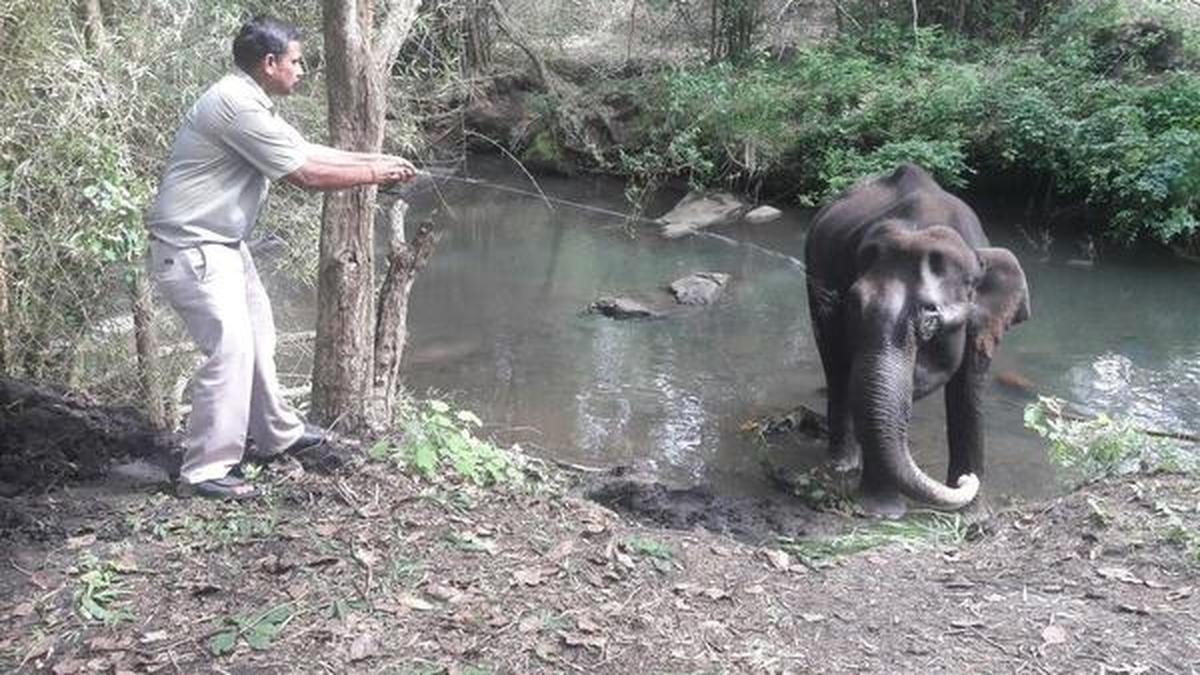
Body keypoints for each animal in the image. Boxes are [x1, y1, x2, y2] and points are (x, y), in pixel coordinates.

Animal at [804, 164, 1030, 517]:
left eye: (931, 318)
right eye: (853, 306)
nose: (964, 481)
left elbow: (968, 390)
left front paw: (973, 516)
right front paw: (882, 514)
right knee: (835, 366)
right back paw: (842, 465)